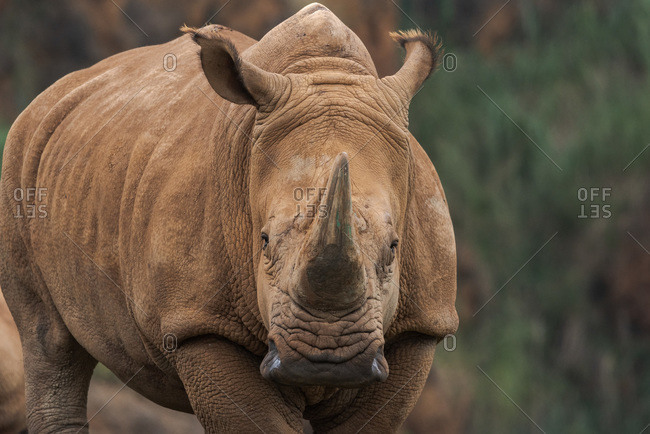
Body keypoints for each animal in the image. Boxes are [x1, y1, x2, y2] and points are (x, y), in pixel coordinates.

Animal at [0, 3, 457, 432]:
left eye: (394, 247)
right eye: (263, 241)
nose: (326, 356)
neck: (323, 71)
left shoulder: (421, 326)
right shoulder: (200, 322)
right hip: (19, 161)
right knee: (48, 340)